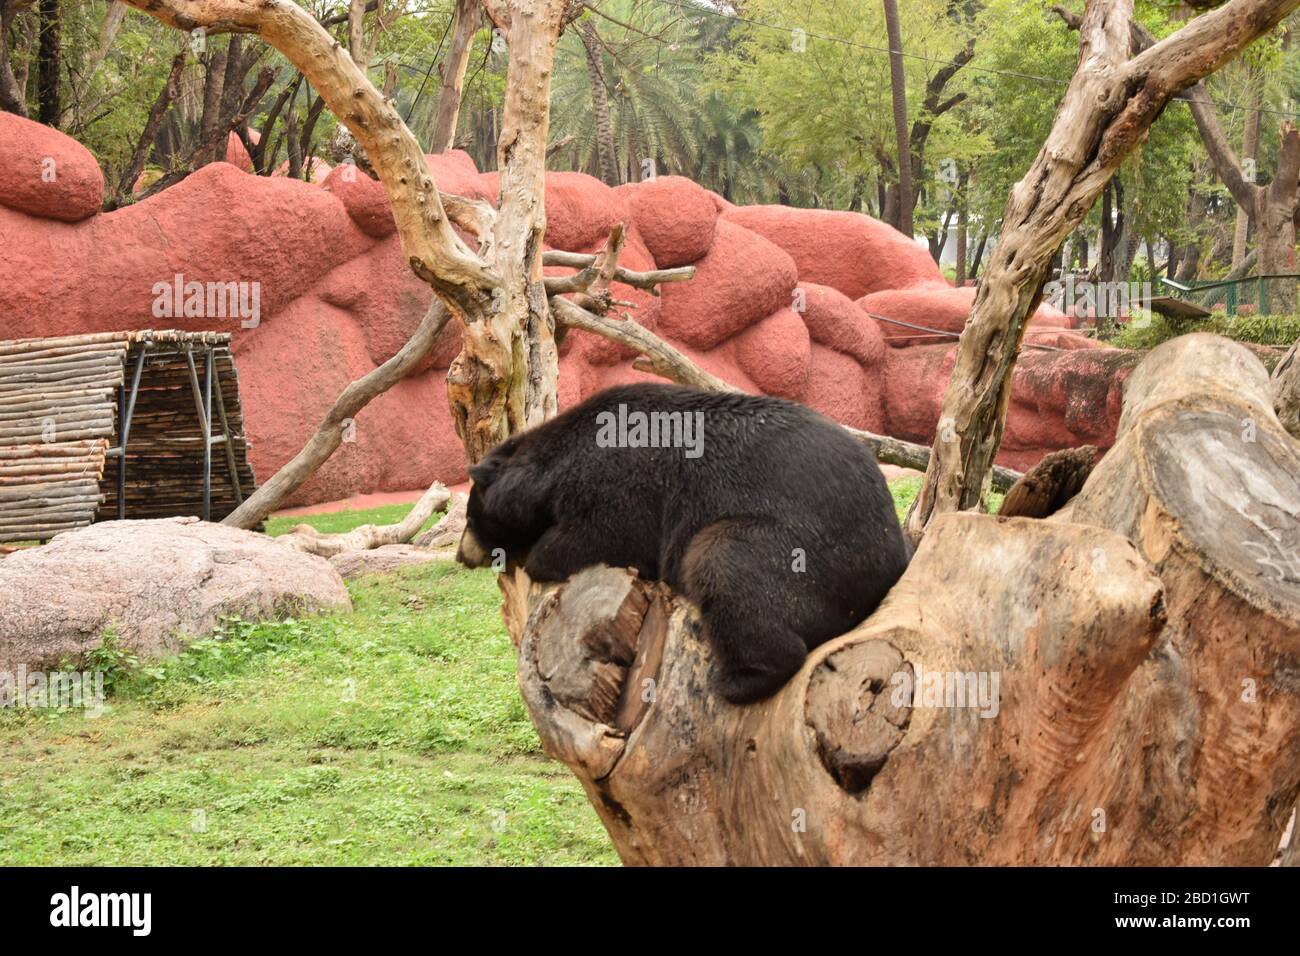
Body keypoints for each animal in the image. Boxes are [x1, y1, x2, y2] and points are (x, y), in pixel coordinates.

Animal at [456, 383, 912, 704]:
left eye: (469, 517)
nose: (462, 555)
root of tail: (889, 558)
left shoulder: (624, 484)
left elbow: (601, 535)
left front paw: (533, 553)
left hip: (806, 551)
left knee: (722, 563)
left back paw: (736, 681)